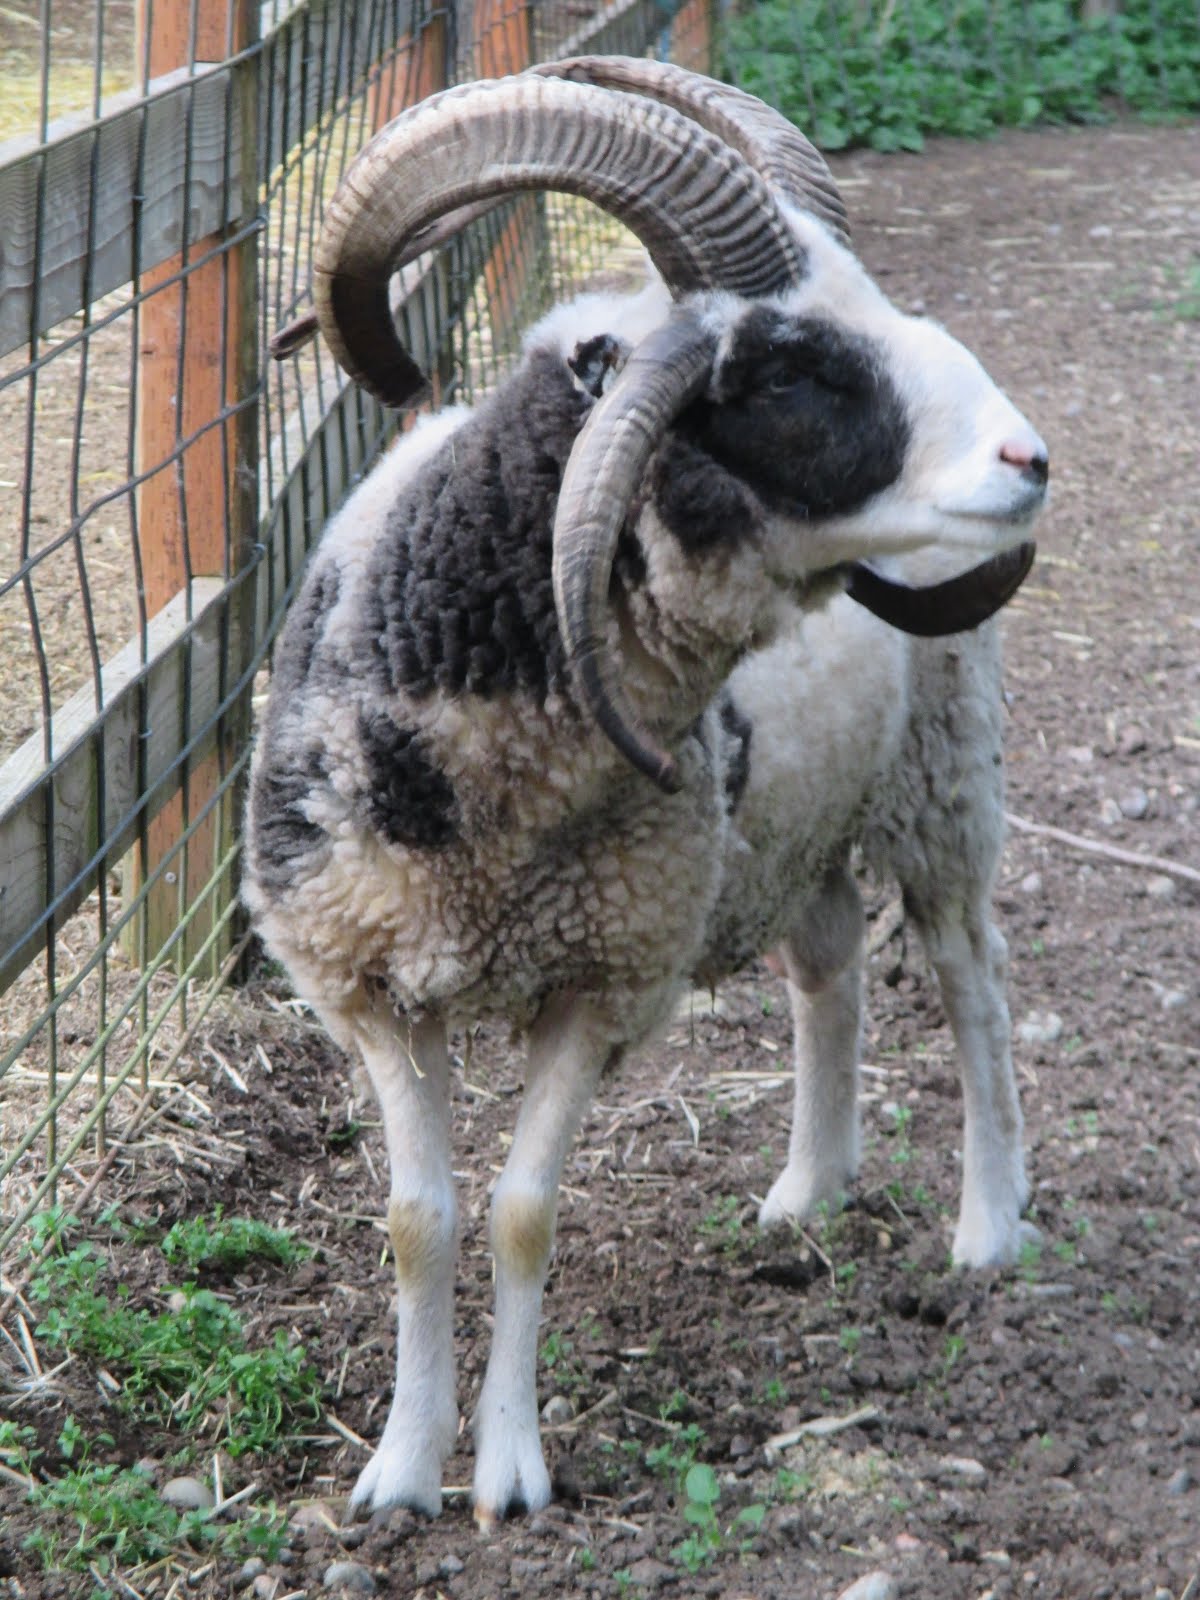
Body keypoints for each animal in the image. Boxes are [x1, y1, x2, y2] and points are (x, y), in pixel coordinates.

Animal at [243, 59, 1050, 1526]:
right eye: (789, 368)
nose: (1031, 461)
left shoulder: (600, 980)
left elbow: (521, 1213)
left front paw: (508, 1472)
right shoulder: (368, 982)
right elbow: (417, 1222)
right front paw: (400, 1469)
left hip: (942, 779)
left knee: (974, 978)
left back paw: (987, 1228)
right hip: (789, 825)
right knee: (830, 964)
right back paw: (808, 1188)